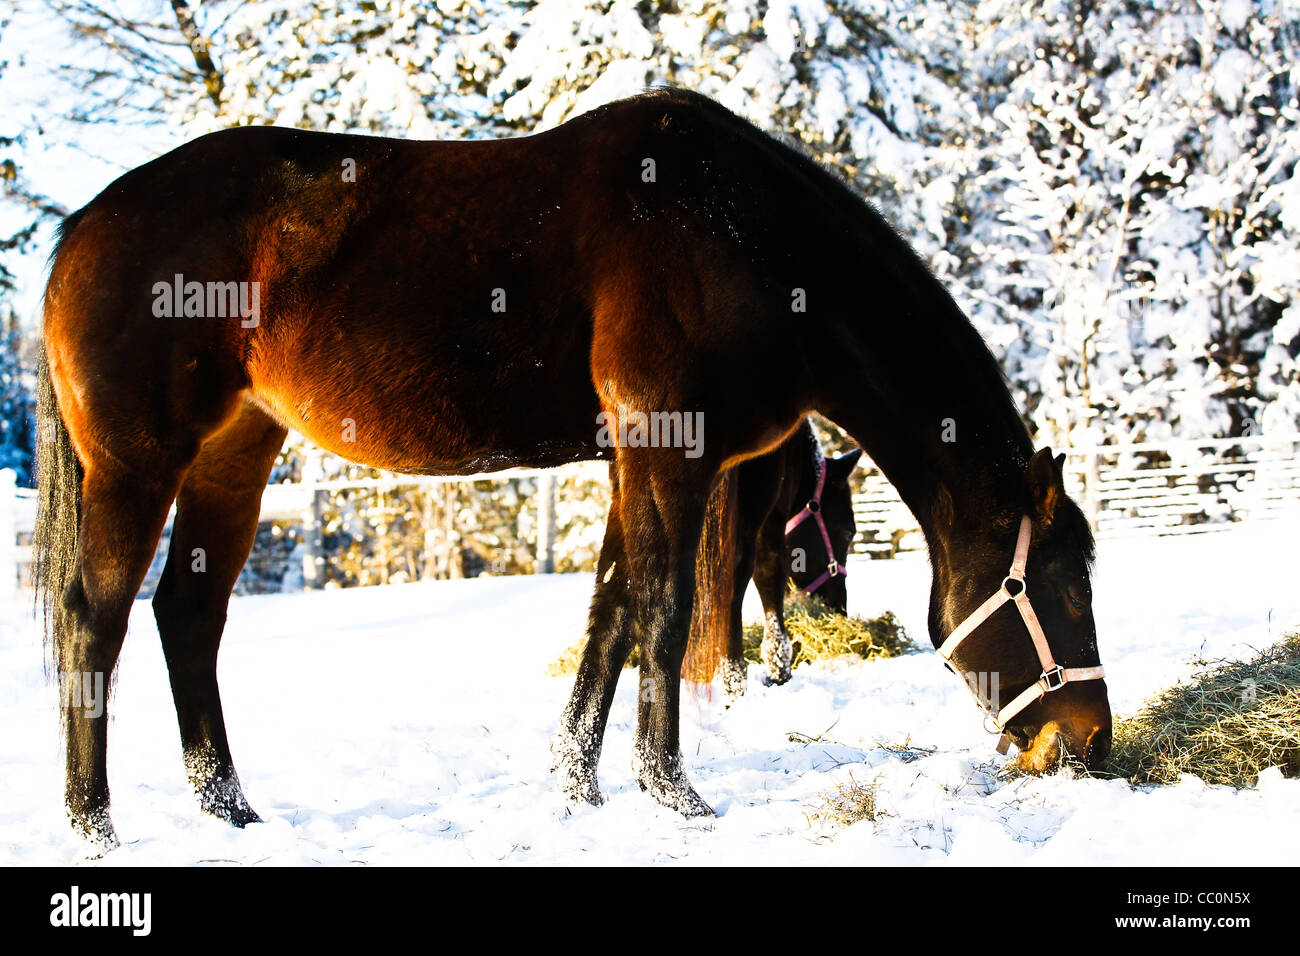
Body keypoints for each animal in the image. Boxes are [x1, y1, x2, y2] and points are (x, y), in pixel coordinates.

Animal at [36, 87, 1110, 848]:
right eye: (1059, 587)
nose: (1090, 740)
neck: (746, 237)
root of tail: (84, 224)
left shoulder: (634, 464)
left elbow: (610, 617)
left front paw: (577, 784)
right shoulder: (669, 452)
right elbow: (665, 614)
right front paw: (675, 797)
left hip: (235, 453)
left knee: (188, 616)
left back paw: (231, 812)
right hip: (137, 463)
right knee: (95, 618)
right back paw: (95, 827)